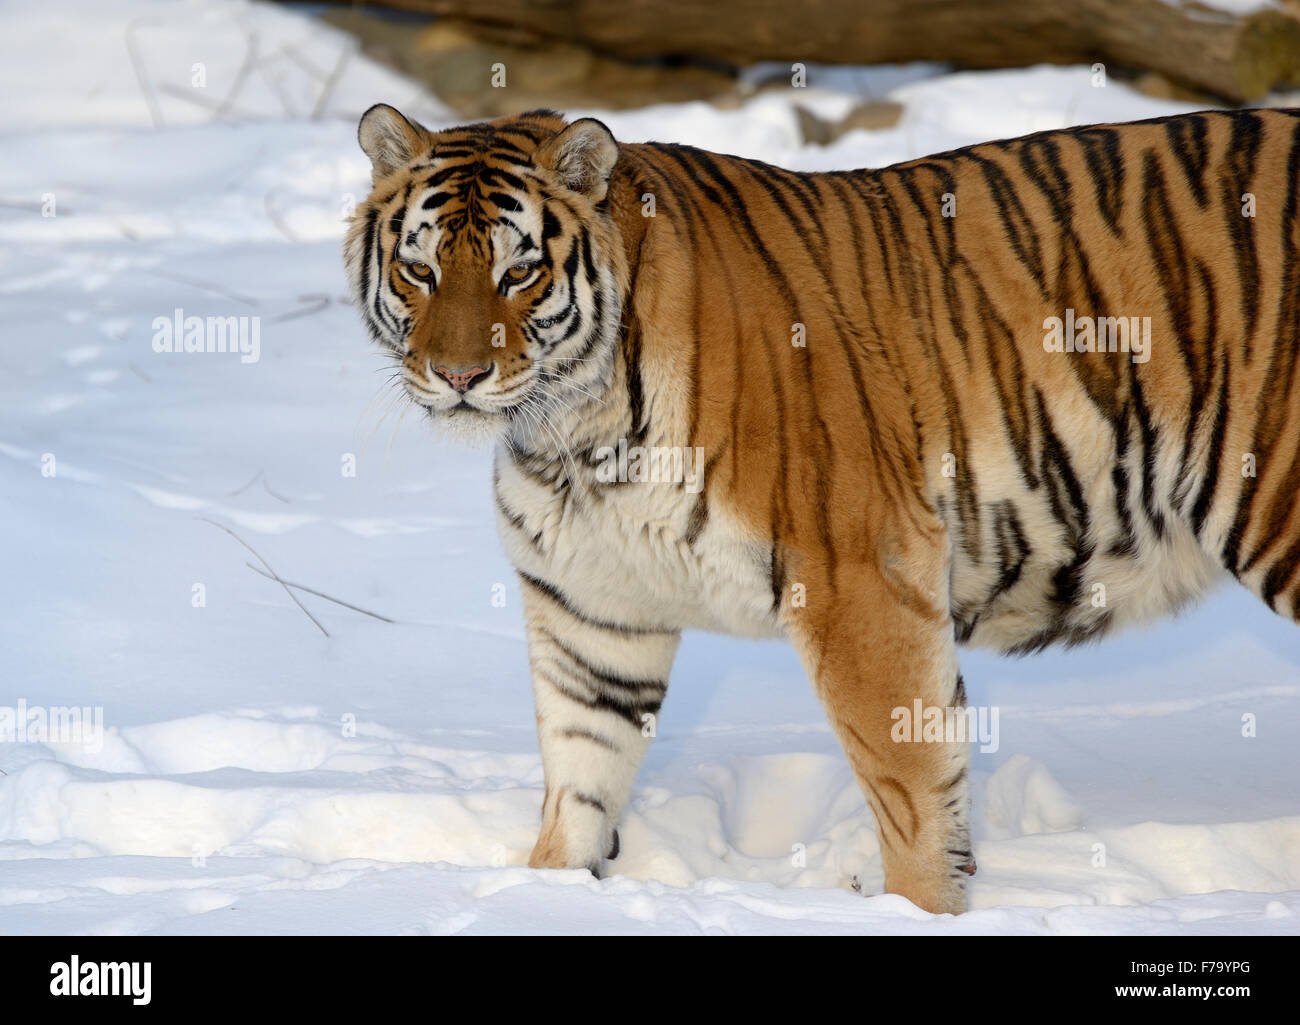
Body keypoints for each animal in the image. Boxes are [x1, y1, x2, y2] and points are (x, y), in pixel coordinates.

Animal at [344, 103, 1300, 915]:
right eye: (421, 268)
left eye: (520, 272)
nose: (459, 376)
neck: (573, 433)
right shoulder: (592, 611)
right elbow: (581, 780)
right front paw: (548, 896)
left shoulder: (860, 576)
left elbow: (911, 788)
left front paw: (920, 914)